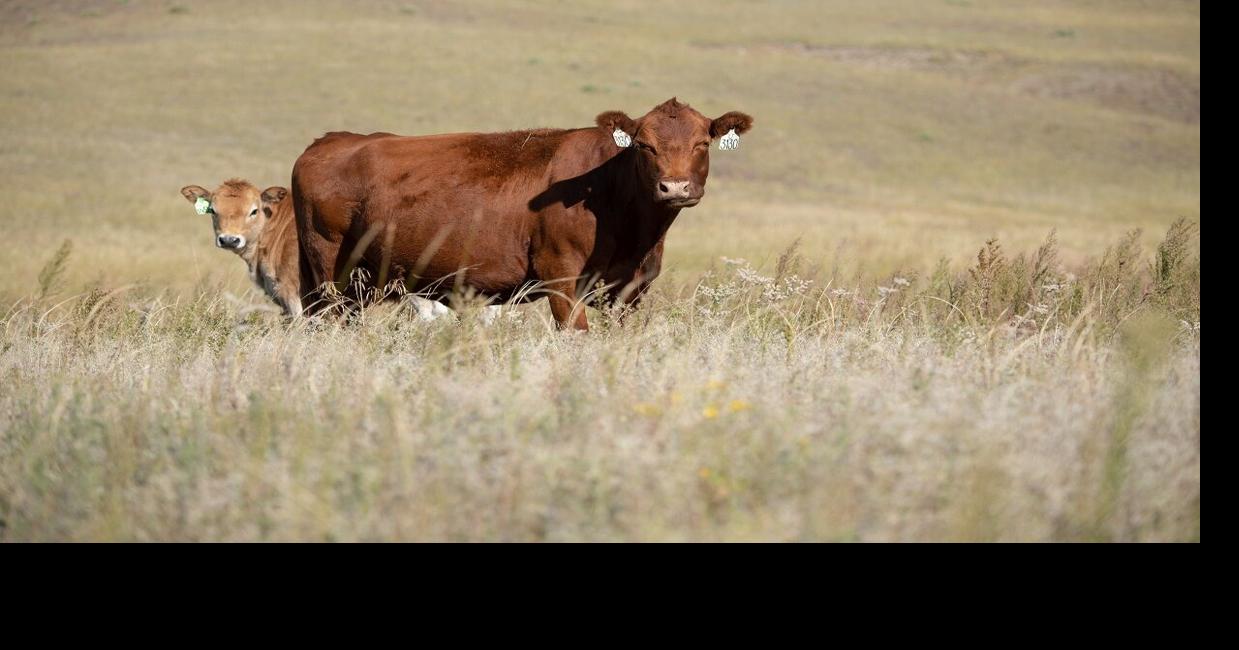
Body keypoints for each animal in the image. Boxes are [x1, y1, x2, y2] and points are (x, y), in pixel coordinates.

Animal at [292, 98, 754, 330]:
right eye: (644, 145)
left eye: (702, 144)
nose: (674, 187)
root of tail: (332, 140)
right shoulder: (562, 278)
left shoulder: (631, 289)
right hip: (331, 274)